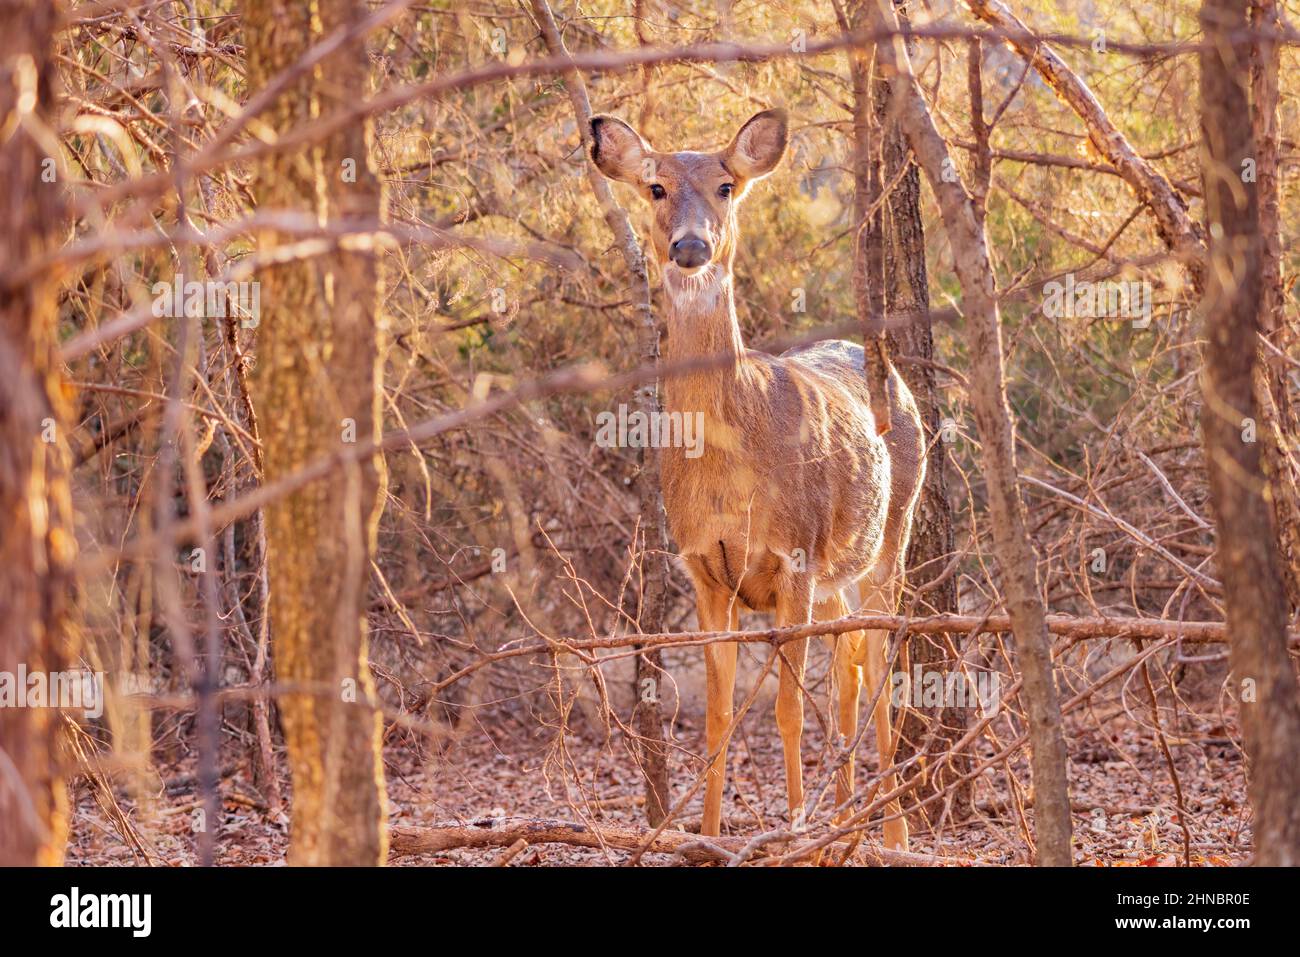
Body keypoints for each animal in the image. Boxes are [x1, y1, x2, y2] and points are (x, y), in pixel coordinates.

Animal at [589, 108, 923, 851]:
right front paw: (710, 834)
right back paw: (844, 819)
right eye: (655, 186)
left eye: (725, 185)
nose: (690, 245)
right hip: (838, 573)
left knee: (882, 660)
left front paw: (794, 831)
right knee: (850, 656)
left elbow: (787, 711)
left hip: (893, 534)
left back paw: (890, 832)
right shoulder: (705, 573)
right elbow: (717, 717)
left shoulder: (794, 555)